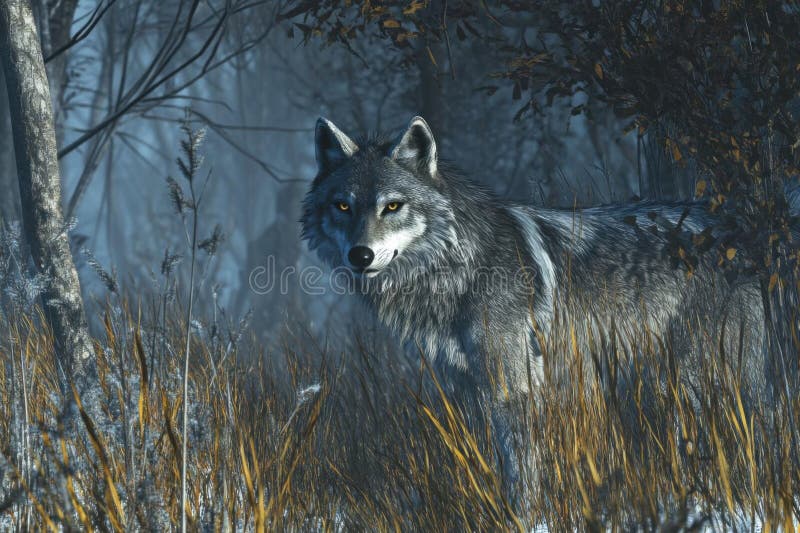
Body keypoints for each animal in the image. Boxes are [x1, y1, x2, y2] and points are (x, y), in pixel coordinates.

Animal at [301, 115, 783, 492]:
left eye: (392, 206)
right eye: (342, 206)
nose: (360, 255)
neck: (458, 268)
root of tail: (734, 227)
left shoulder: (513, 390)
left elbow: (524, 473)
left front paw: (528, 517)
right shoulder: (469, 389)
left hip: (704, 377)